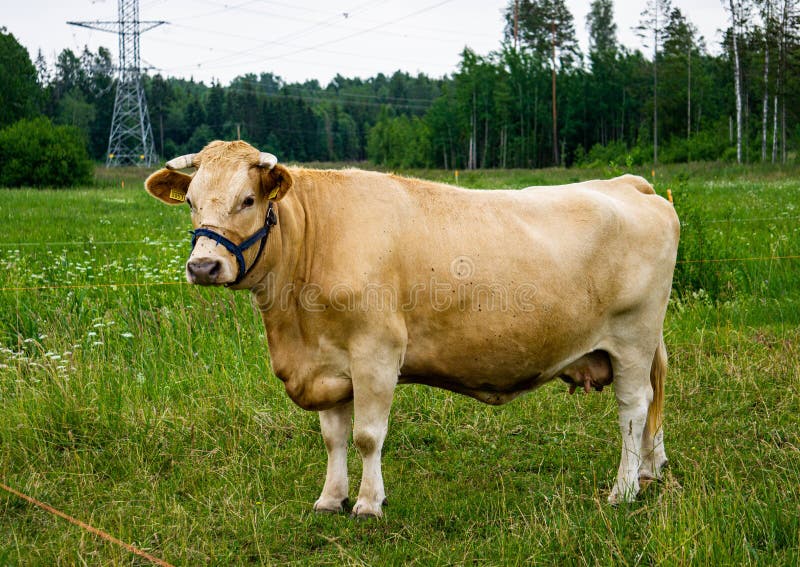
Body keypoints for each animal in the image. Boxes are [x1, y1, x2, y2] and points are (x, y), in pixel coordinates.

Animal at [145, 140, 679, 518]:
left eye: (248, 199)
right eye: (190, 201)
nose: (204, 266)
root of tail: (630, 184)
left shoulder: (376, 351)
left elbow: (367, 435)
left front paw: (367, 504)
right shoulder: (328, 363)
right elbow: (333, 437)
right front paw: (330, 499)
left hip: (632, 337)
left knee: (633, 409)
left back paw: (623, 490)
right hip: (643, 342)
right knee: (653, 399)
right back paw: (650, 473)